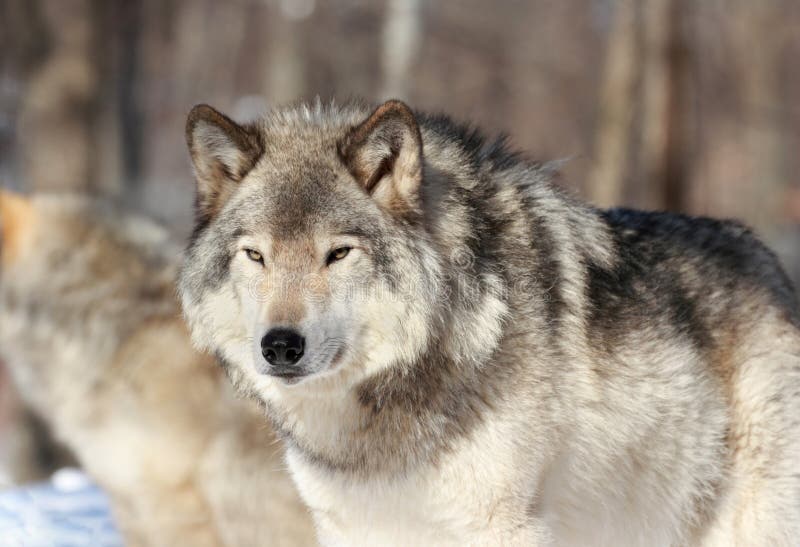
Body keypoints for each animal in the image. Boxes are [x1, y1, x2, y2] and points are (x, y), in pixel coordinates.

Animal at [179, 99, 800, 546]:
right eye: (256, 256)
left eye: (338, 254)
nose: (280, 346)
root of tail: (775, 271)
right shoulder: (353, 528)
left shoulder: (503, 525)